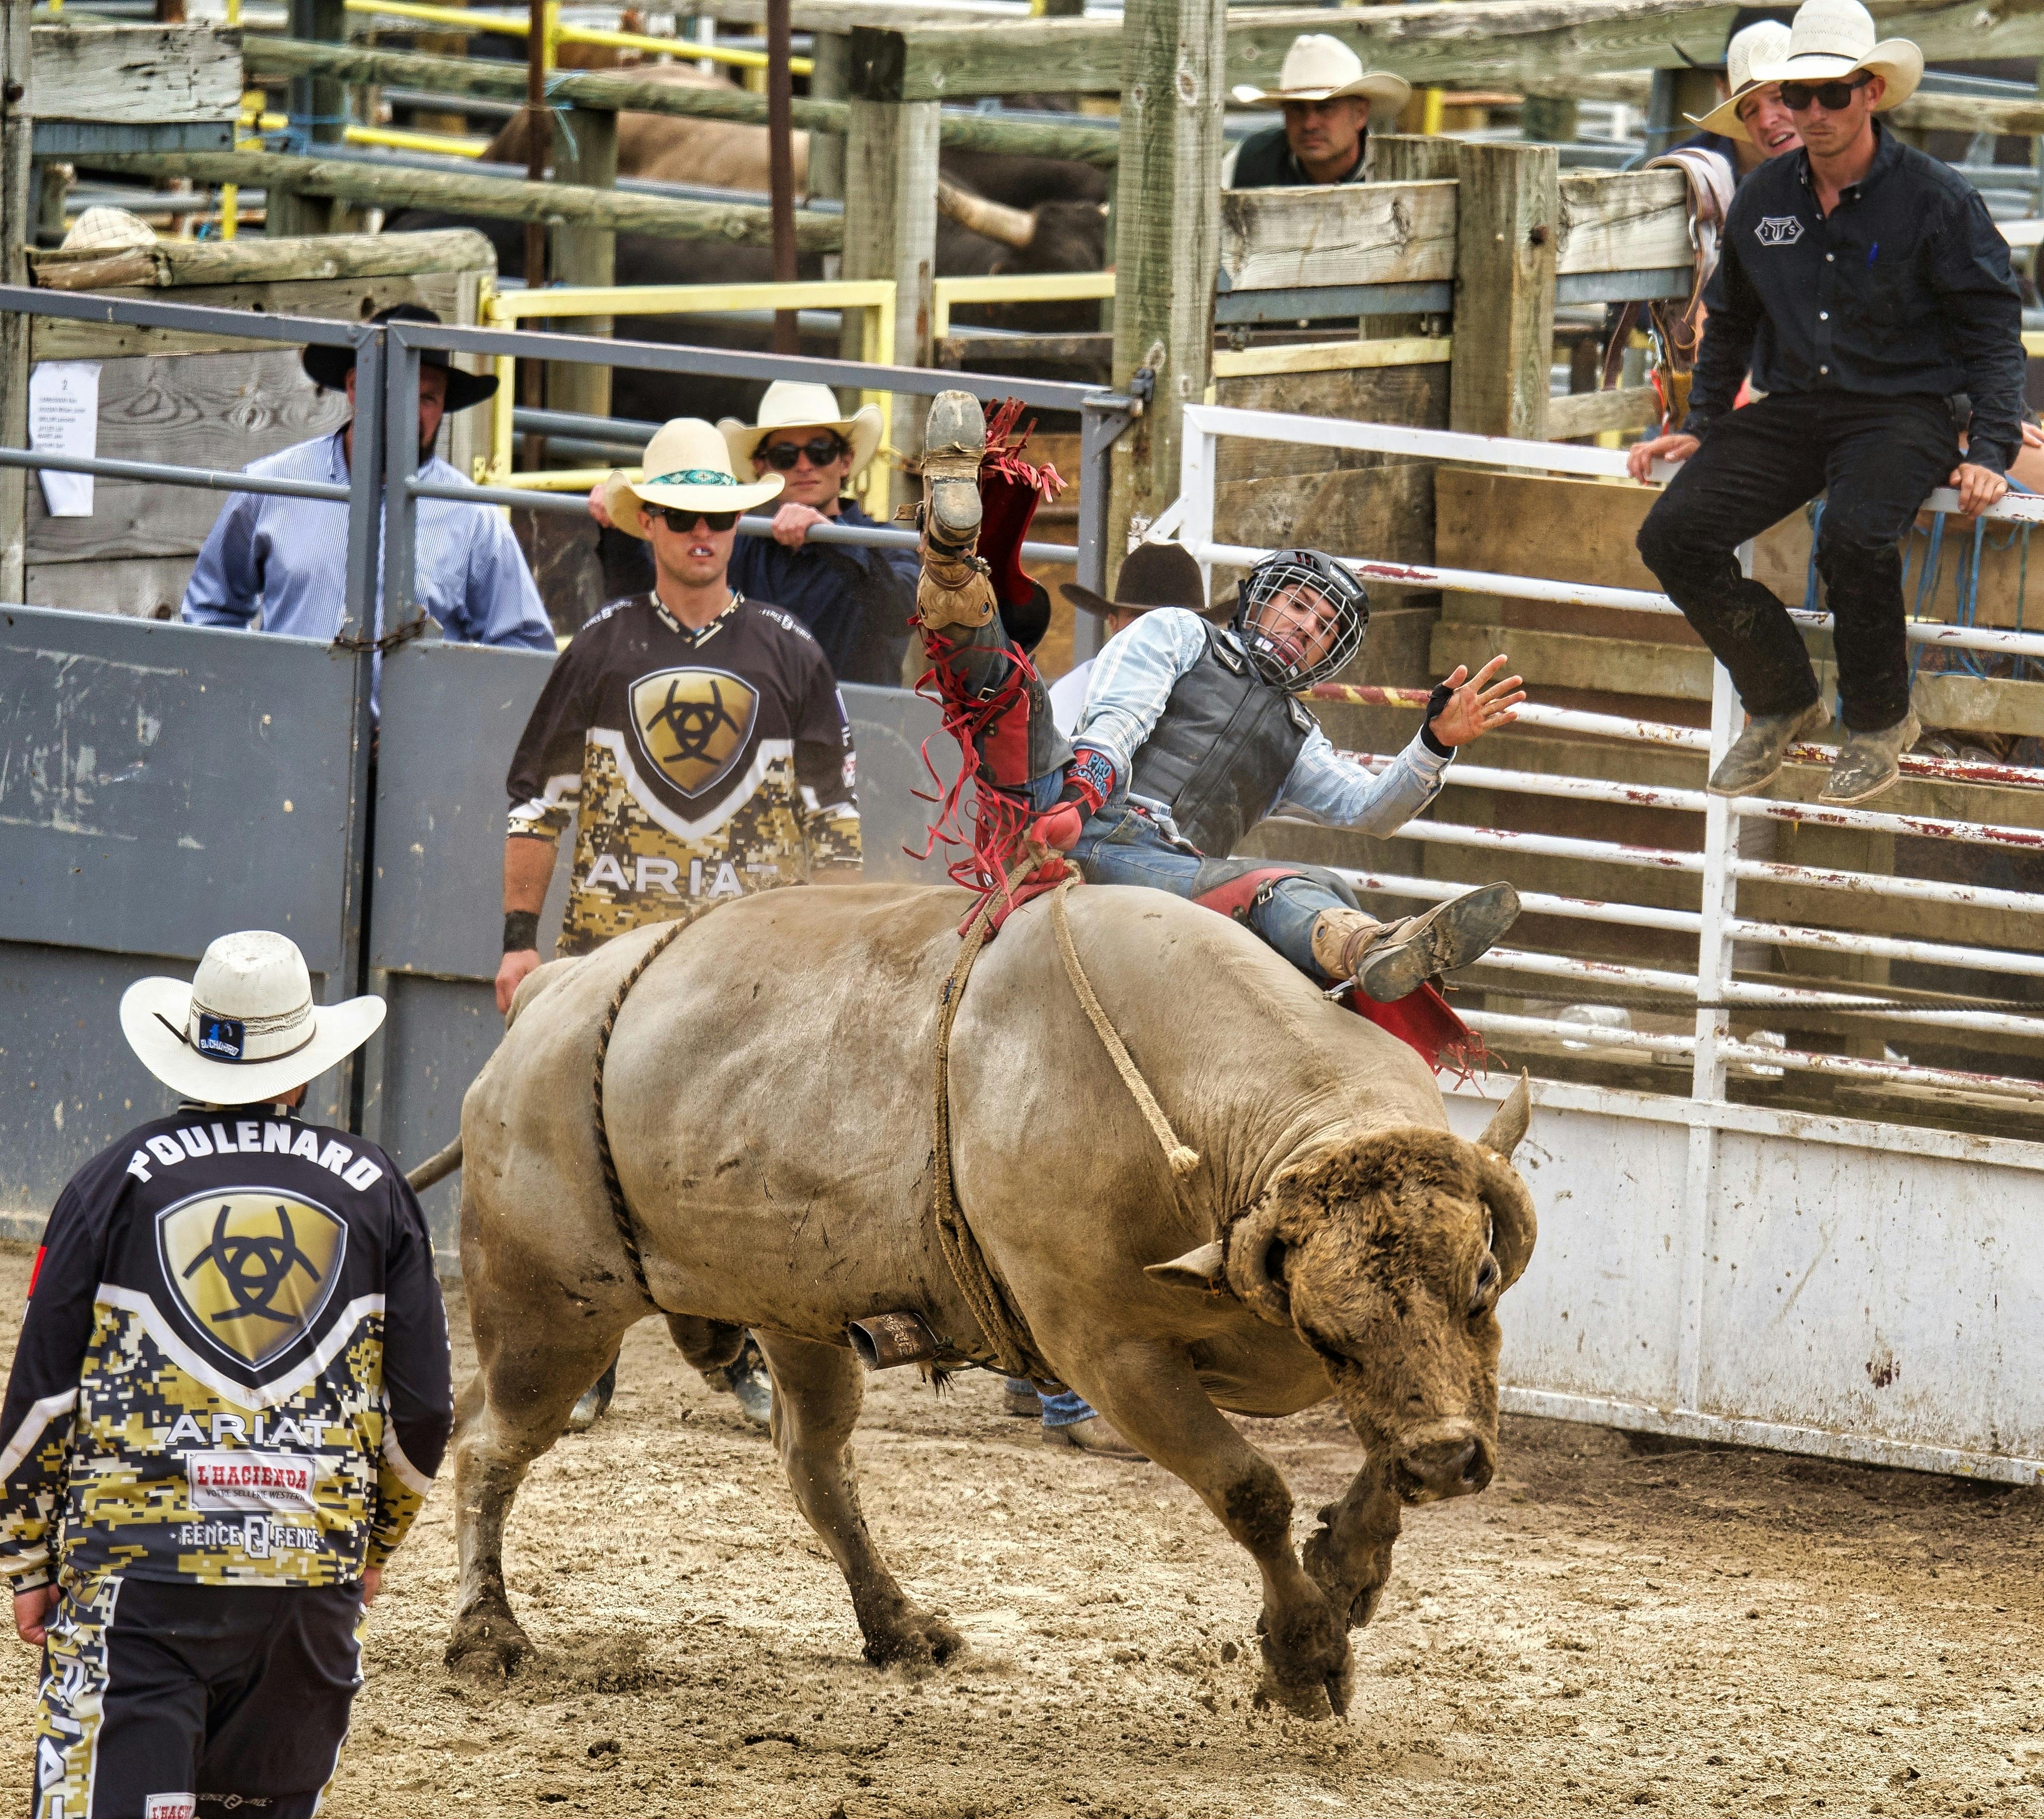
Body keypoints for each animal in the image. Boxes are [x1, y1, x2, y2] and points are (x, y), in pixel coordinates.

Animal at [442, 881, 1538, 1719]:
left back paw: (897, 1626)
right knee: (486, 1445)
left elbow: (1383, 1445)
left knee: (813, 1465)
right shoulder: (1111, 1355)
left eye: (1480, 1282)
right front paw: (1304, 1654)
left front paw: (1348, 1566)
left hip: (795, 1316)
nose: (1450, 1464)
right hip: (547, 1306)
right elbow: (1249, 1492)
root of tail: (555, 989)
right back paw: (485, 1632)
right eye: (1323, 1328)